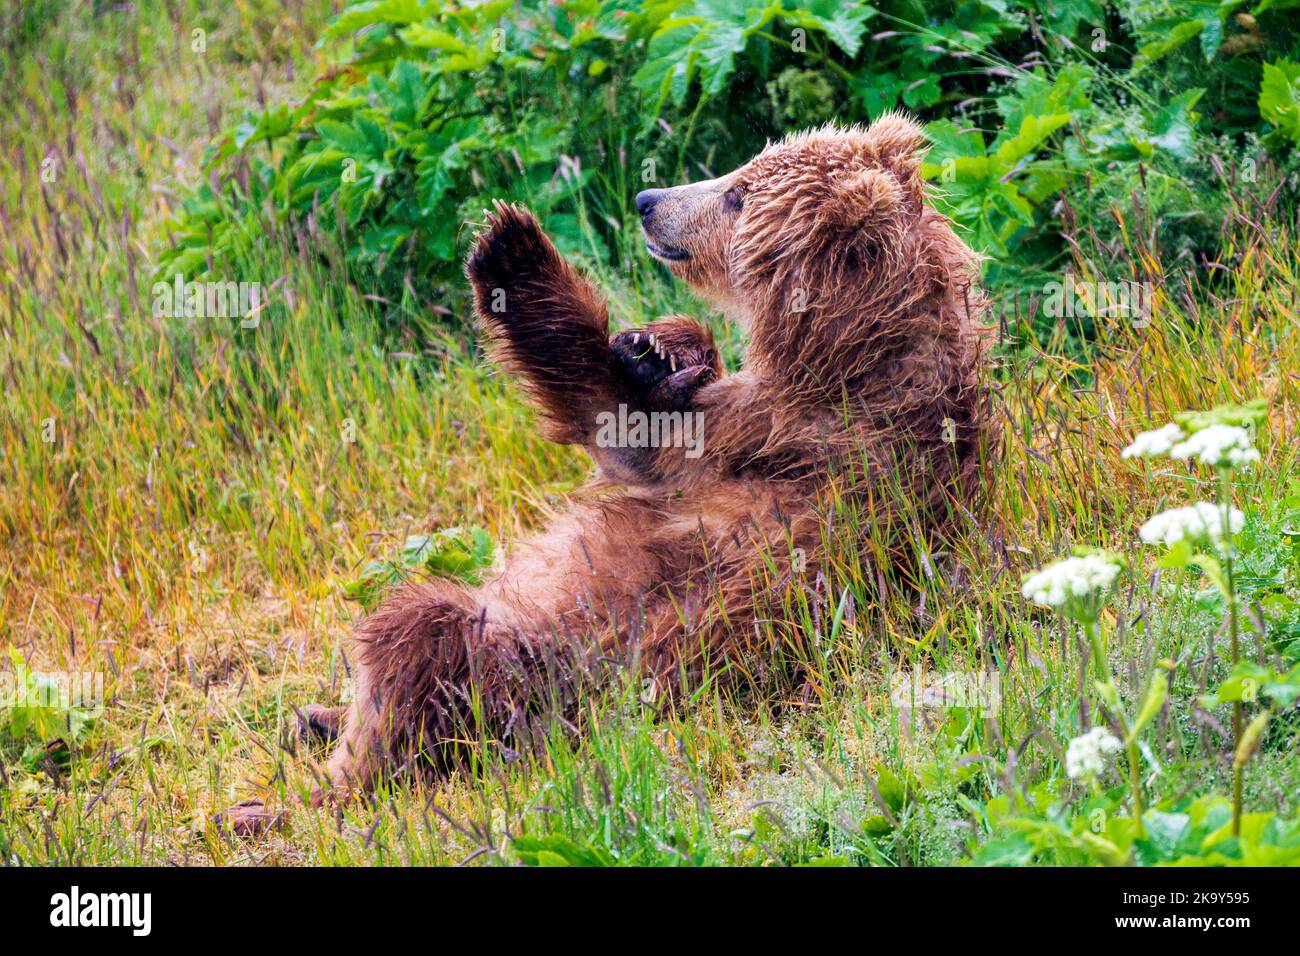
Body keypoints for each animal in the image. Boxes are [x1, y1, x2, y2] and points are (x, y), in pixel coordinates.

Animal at [219, 114, 989, 829]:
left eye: (737, 192)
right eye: (744, 167)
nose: (648, 199)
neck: (848, 347)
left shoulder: (782, 435)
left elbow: (620, 429)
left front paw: (512, 247)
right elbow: (646, 403)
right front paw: (659, 348)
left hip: (535, 676)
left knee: (418, 642)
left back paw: (284, 798)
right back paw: (312, 717)